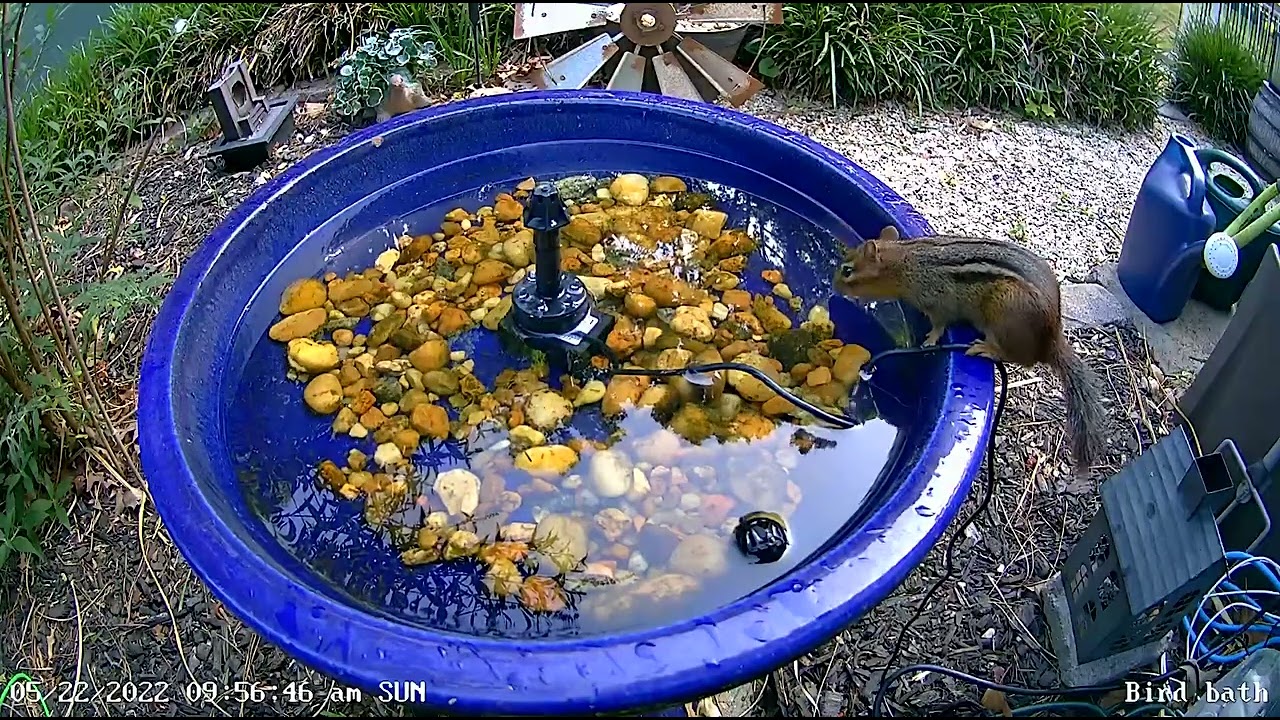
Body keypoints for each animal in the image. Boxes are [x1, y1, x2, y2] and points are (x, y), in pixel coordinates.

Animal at [832, 224, 1108, 470]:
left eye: (847, 271)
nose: (834, 286)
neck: (905, 261)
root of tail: (1052, 338)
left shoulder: (938, 303)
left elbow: (940, 324)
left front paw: (930, 339)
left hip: (1003, 311)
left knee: (1023, 359)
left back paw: (986, 349)